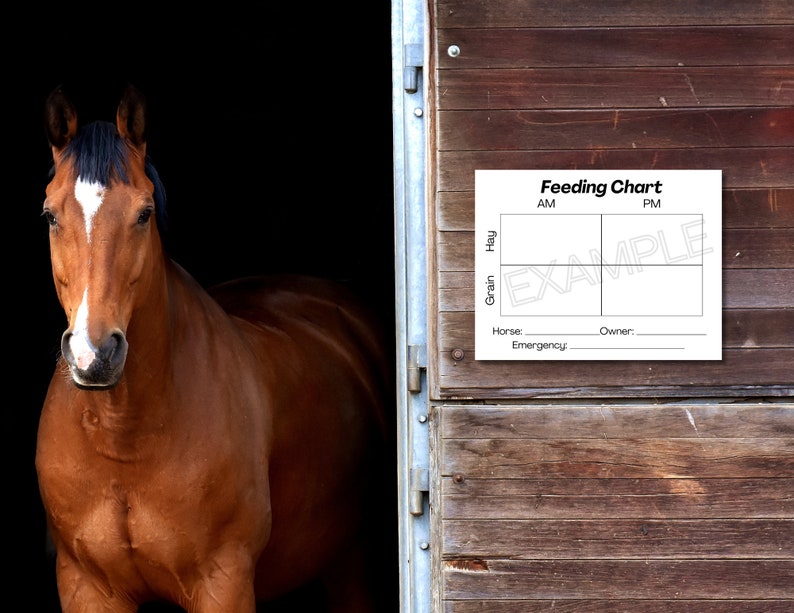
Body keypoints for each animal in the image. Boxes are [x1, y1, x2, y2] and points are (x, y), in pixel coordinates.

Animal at [35, 84, 393, 612]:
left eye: (143, 213)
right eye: (50, 215)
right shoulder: (85, 586)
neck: (124, 441)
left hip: (352, 562)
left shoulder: (222, 582)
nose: (93, 355)